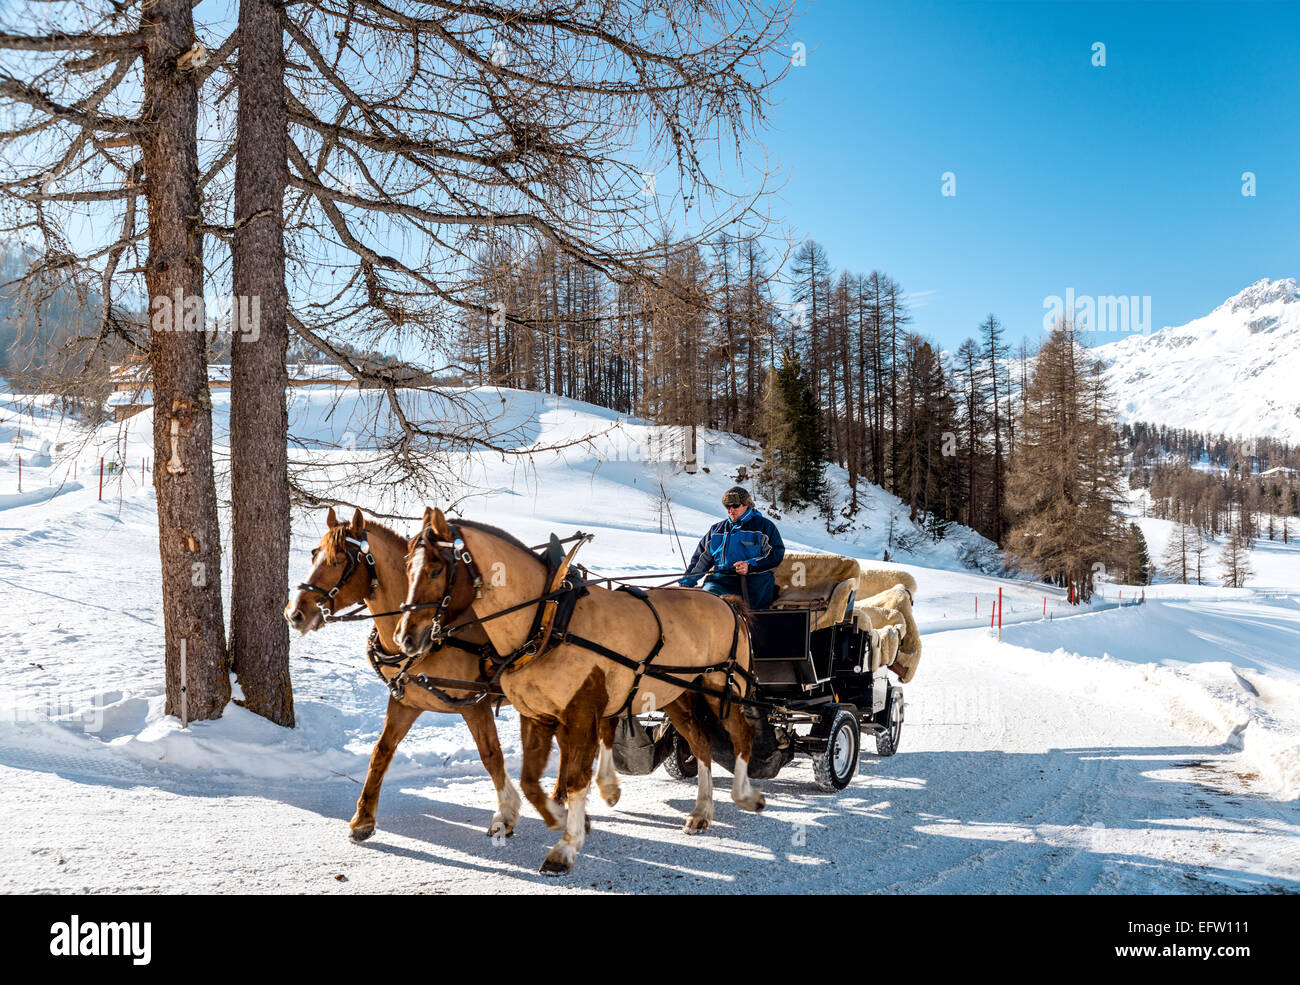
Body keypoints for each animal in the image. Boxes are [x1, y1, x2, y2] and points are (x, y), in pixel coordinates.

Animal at [284, 507, 524, 841]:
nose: (294, 613)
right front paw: (363, 819)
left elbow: (491, 755)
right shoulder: (405, 702)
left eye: (340, 560)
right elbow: (381, 752)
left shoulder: (474, 705)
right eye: (314, 554)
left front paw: (505, 814)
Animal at [394, 507, 765, 875]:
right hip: (676, 693)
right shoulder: (536, 714)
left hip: (722, 687)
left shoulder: (582, 712)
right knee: (700, 742)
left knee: (741, 733)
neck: (548, 621)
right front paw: (562, 818)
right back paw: (702, 812)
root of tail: (727, 602)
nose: (405, 637)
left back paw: (745, 795)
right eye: (407, 566)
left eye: (436, 569)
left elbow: (574, 779)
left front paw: (566, 846)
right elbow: (530, 781)